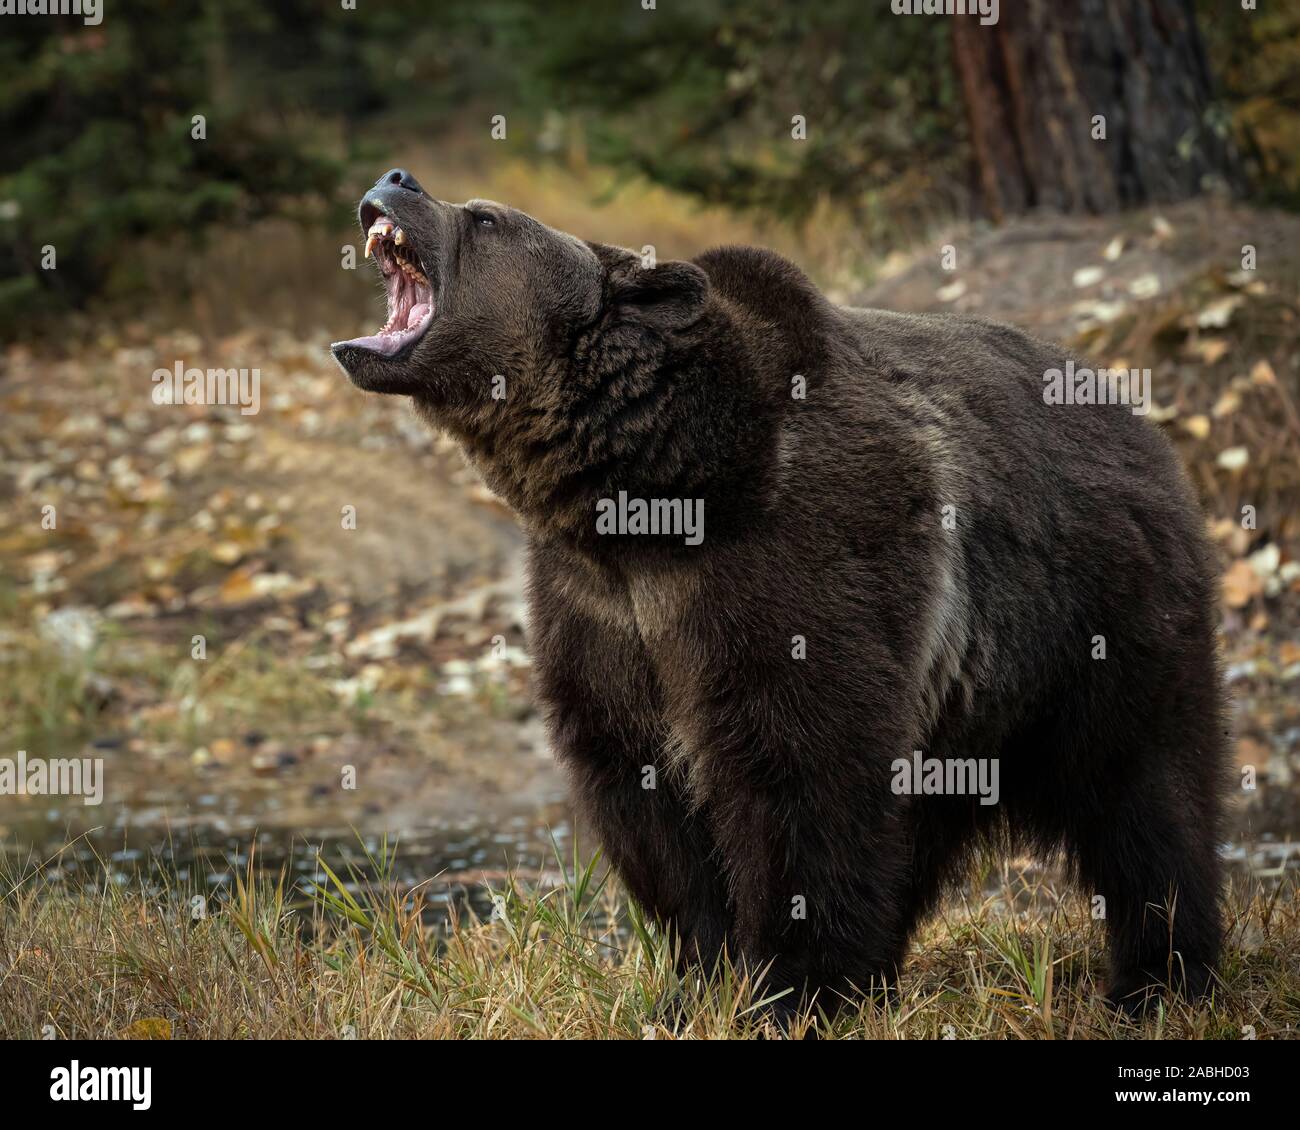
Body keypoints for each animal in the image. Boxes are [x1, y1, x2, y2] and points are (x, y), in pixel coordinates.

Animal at [332, 168, 1229, 1019]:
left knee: (1145, 793)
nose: (398, 179)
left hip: (1098, 616)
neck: (652, 497)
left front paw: (794, 989)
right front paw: (701, 980)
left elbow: (800, 772)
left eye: (486, 218)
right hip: (966, 702)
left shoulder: (795, 567)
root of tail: (1136, 415)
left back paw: (1159, 978)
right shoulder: (598, 610)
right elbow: (642, 791)